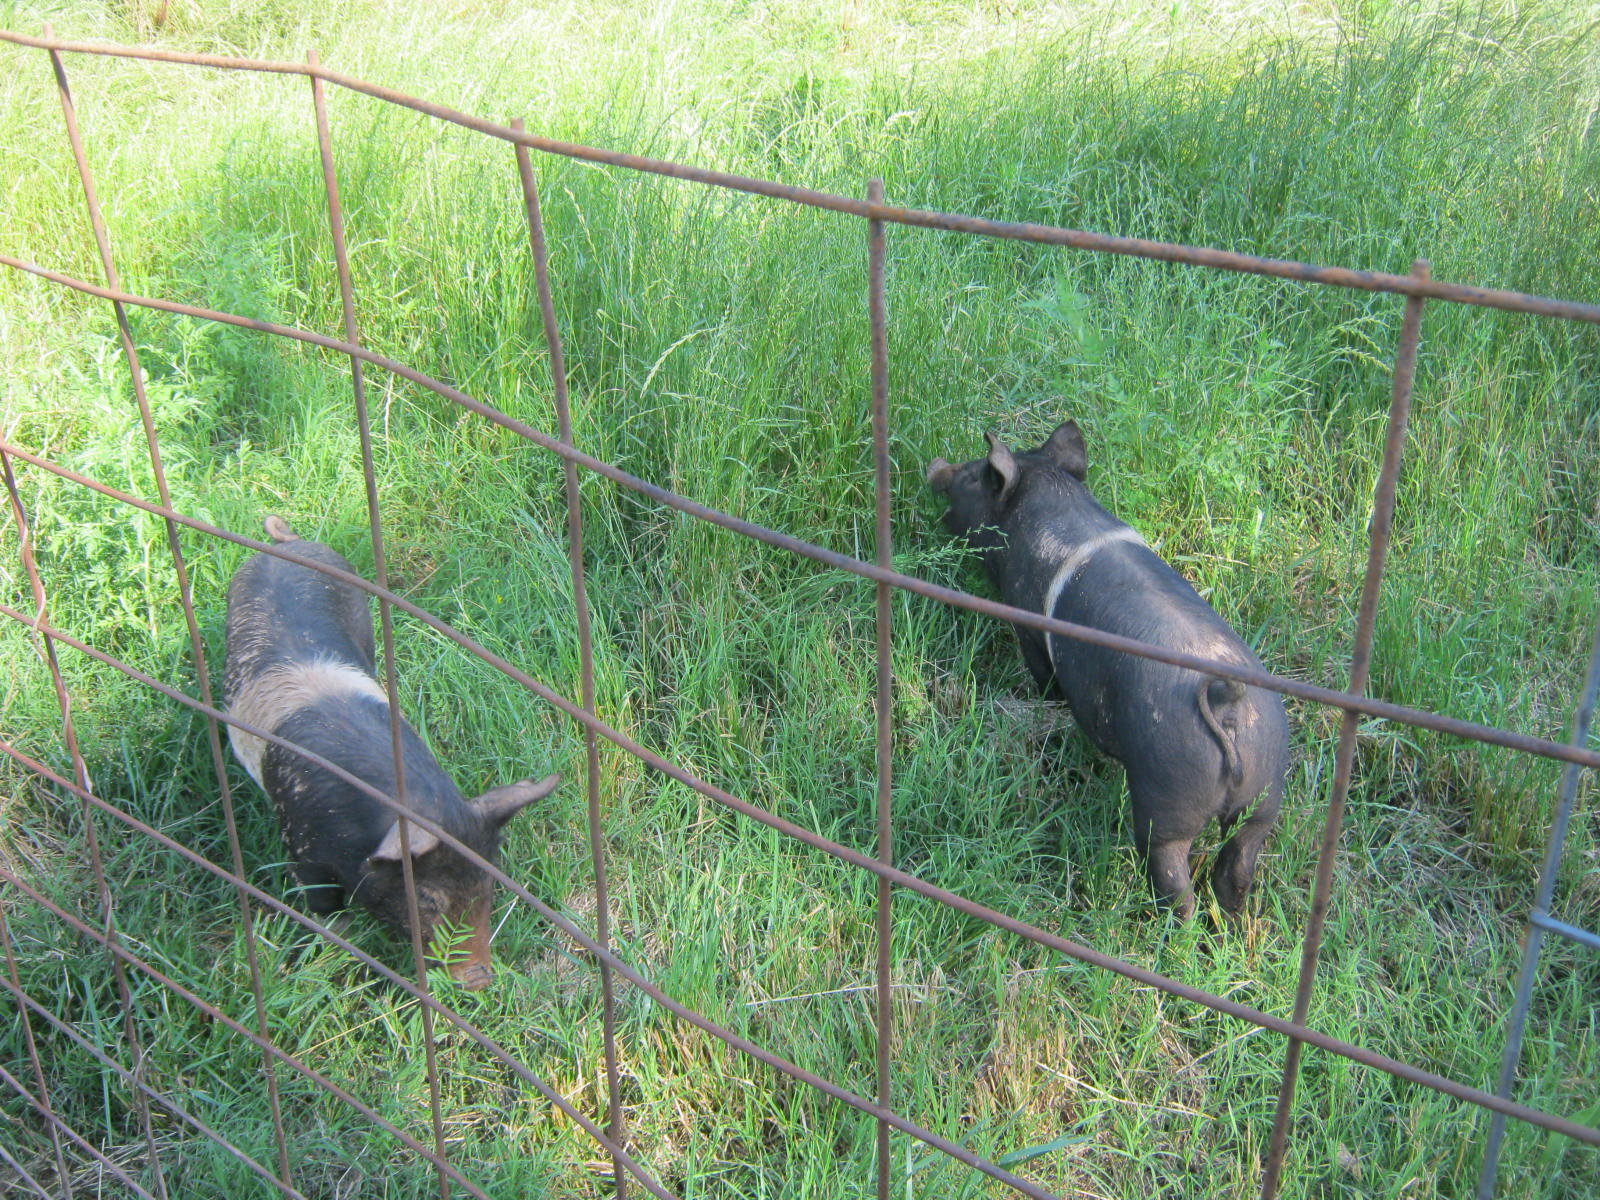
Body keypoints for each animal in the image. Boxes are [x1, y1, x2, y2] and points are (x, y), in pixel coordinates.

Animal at [223, 515, 559, 988]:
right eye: (429, 899)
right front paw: (340, 944)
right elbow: (320, 903)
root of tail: (286, 543)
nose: (478, 978)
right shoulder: (300, 845)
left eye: (487, 887)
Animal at [926, 421, 1288, 918]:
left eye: (972, 476)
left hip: (1168, 794)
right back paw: (1230, 925)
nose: (935, 465)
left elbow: (1044, 676)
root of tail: (1225, 699)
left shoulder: (1028, 624)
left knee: (1174, 880)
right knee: (1237, 868)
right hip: (1265, 794)